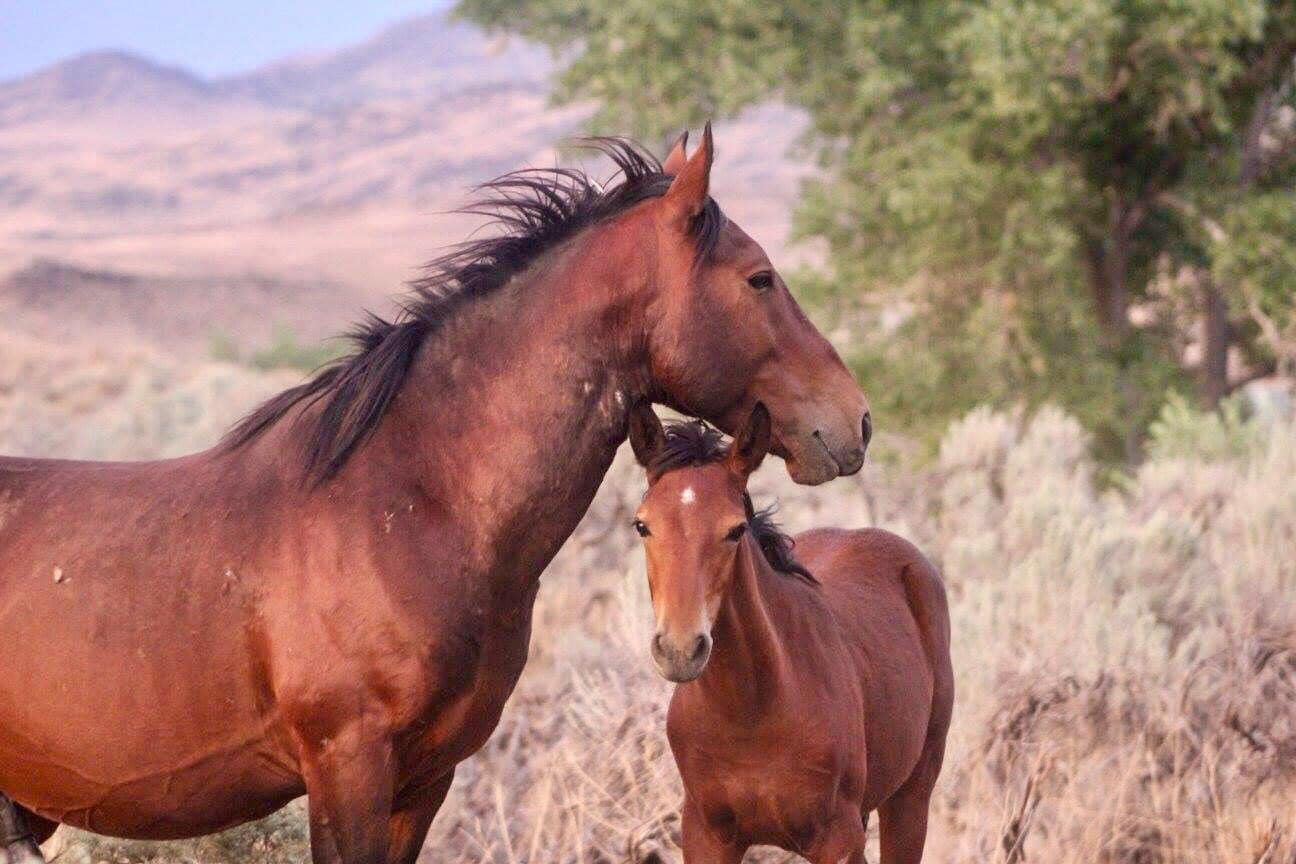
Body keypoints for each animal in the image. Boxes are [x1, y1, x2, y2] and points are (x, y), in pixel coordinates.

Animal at [625, 403, 952, 864]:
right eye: (642, 525)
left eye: (735, 529)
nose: (680, 649)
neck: (750, 712)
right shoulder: (706, 834)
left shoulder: (836, 839)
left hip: (911, 797)